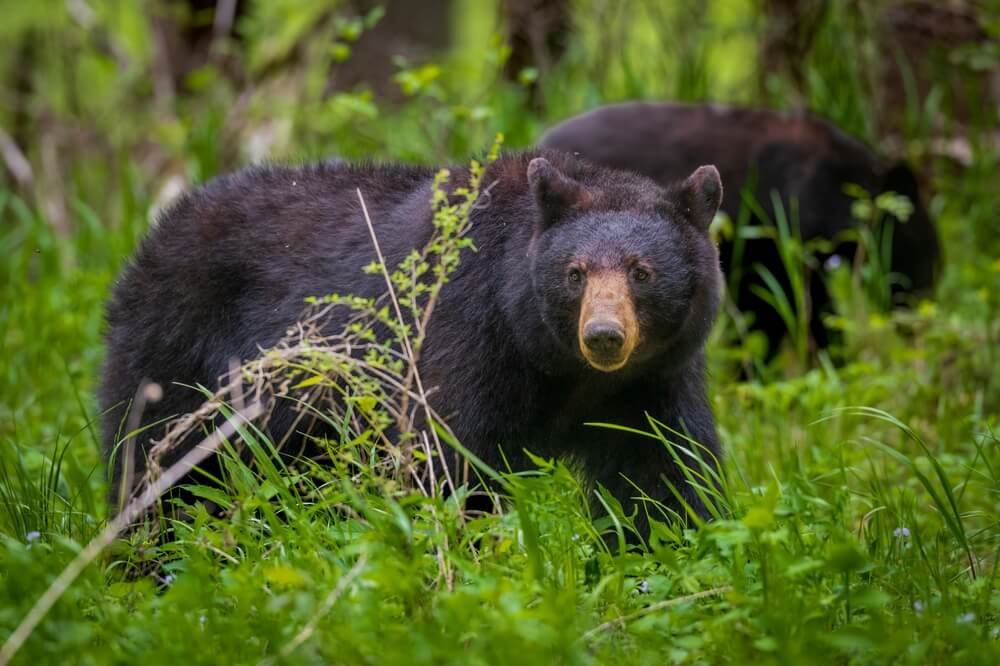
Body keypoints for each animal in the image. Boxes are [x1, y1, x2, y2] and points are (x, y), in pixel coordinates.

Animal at [99, 150, 725, 537]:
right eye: (575, 273)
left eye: (641, 271)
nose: (604, 336)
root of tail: (155, 231)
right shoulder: (465, 330)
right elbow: (449, 458)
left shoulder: (651, 382)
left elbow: (665, 472)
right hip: (182, 349)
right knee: (161, 467)